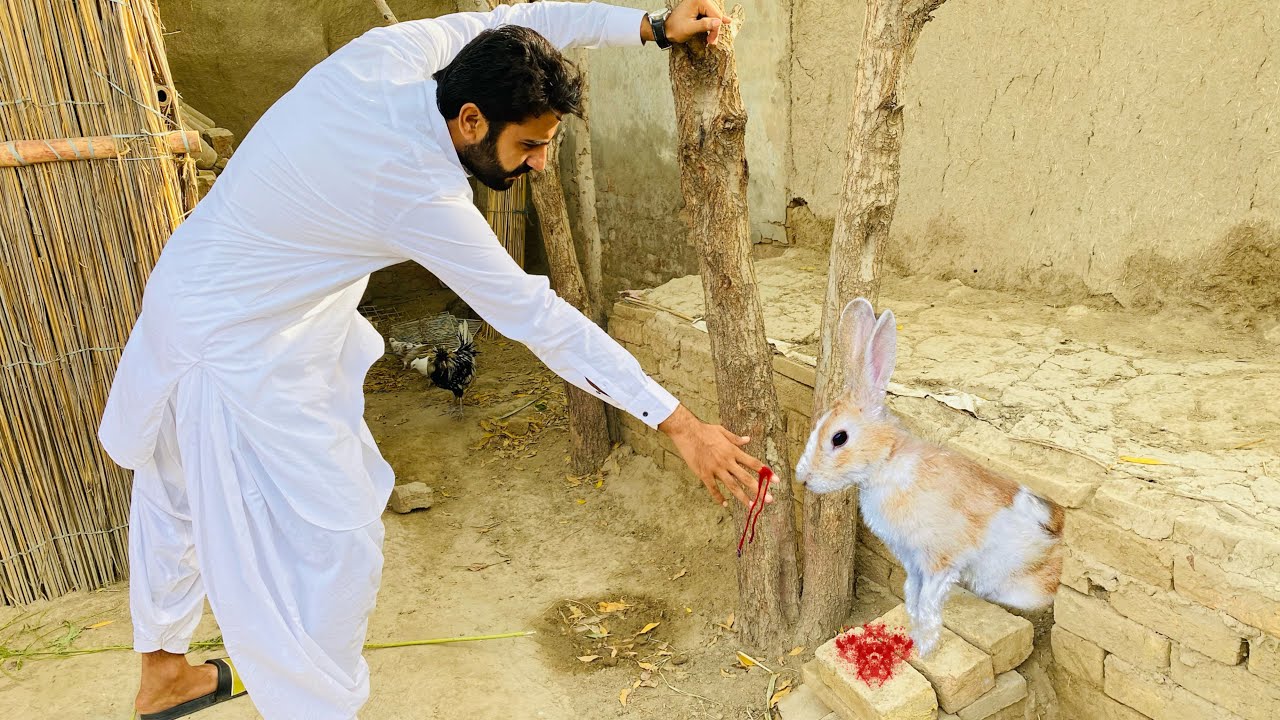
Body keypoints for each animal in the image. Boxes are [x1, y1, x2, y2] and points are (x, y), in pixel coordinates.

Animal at [795, 298, 1064, 657]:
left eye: (839, 438)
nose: (804, 478)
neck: (887, 462)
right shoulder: (913, 562)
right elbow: (912, 593)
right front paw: (912, 636)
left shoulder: (939, 559)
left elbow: (929, 604)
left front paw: (925, 647)